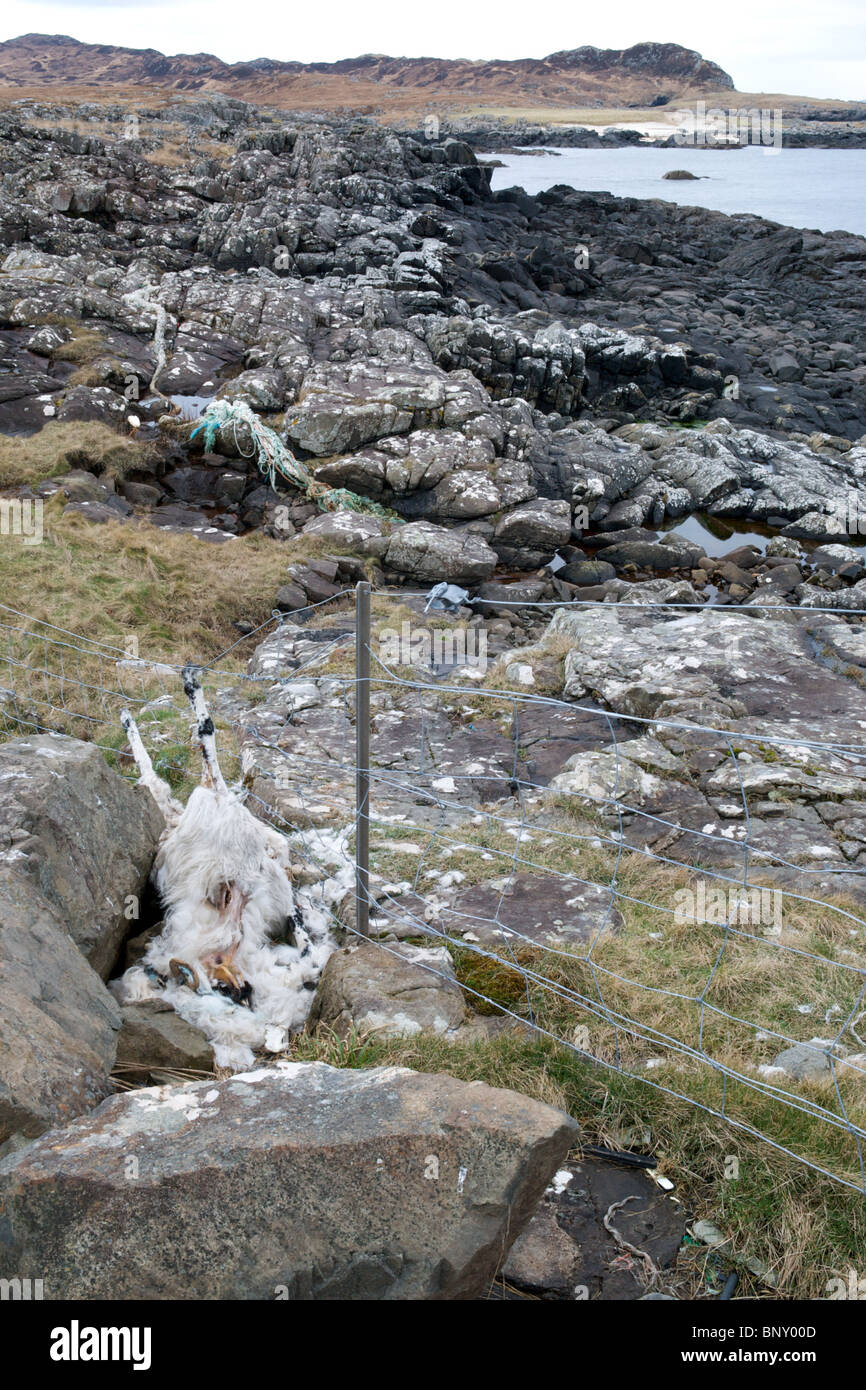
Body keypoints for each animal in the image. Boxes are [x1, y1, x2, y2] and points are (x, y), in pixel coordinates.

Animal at [113, 664, 335, 1070]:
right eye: (227, 993)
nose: (241, 990)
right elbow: (302, 938)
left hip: (215, 815)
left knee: (201, 761)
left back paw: (178, 694)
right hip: (215, 818)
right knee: (198, 760)